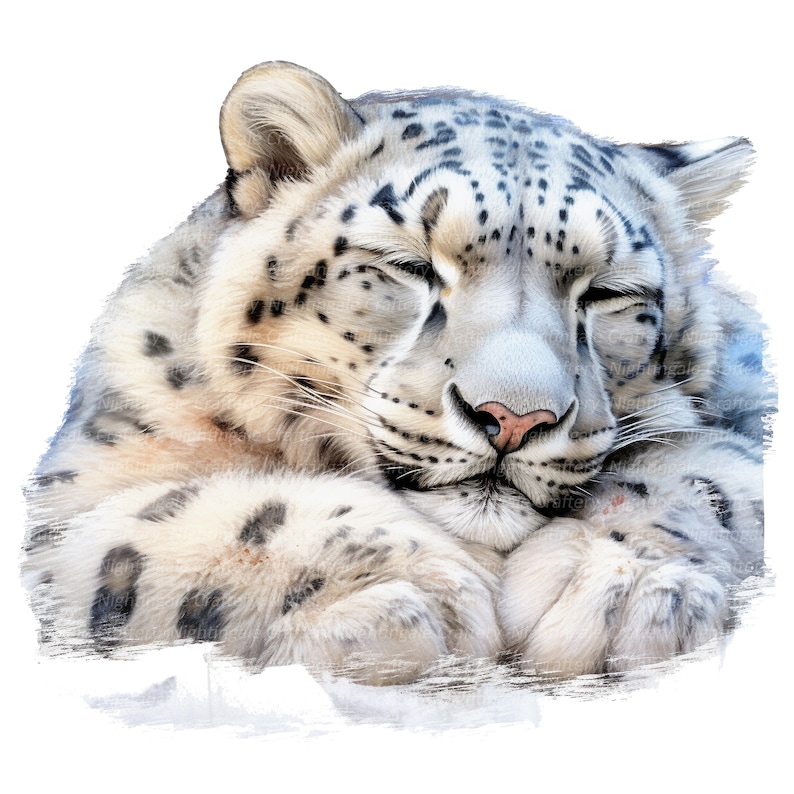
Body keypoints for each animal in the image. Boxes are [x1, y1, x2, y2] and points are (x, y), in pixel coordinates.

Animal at [23, 61, 772, 686]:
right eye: (409, 265)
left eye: (609, 292)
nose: (514, 418)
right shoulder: (67, 506)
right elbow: (205, 516)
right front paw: (426, 587)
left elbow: (715, 477)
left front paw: (624, 584)